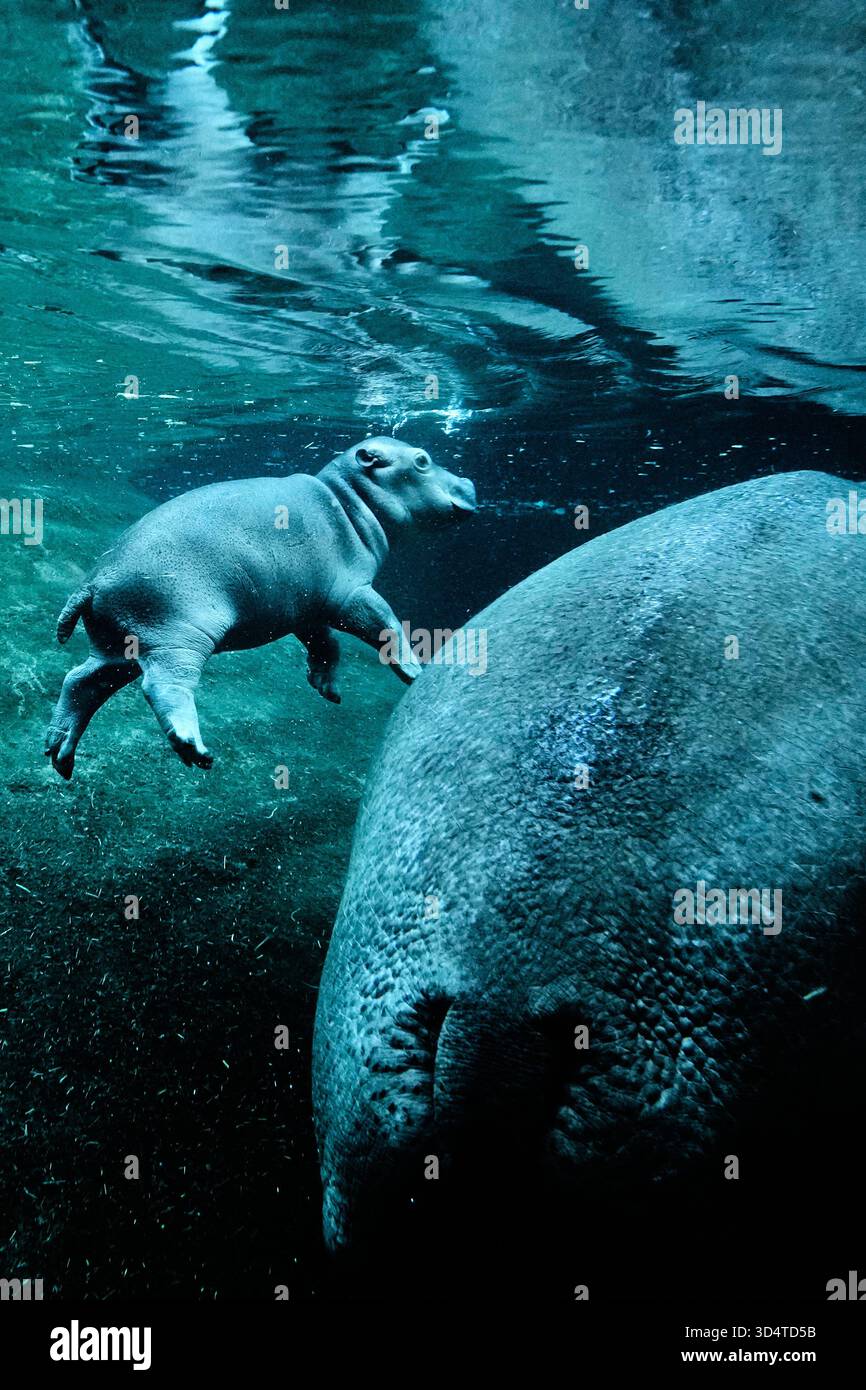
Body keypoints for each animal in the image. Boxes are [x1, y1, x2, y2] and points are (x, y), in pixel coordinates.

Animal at [45, 437, 476, 778]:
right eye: (421, 461)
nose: (470, 482)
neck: (350, 499)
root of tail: (91, 582)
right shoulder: (351, 593)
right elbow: (385, 622)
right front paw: (414, 670)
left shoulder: (306, 607)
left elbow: (326, 644)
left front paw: (327, 688)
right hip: (176, 637)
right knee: (162, 685)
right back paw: (194, 749)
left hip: (118, 647)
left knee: (80, 681)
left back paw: (58, 751)